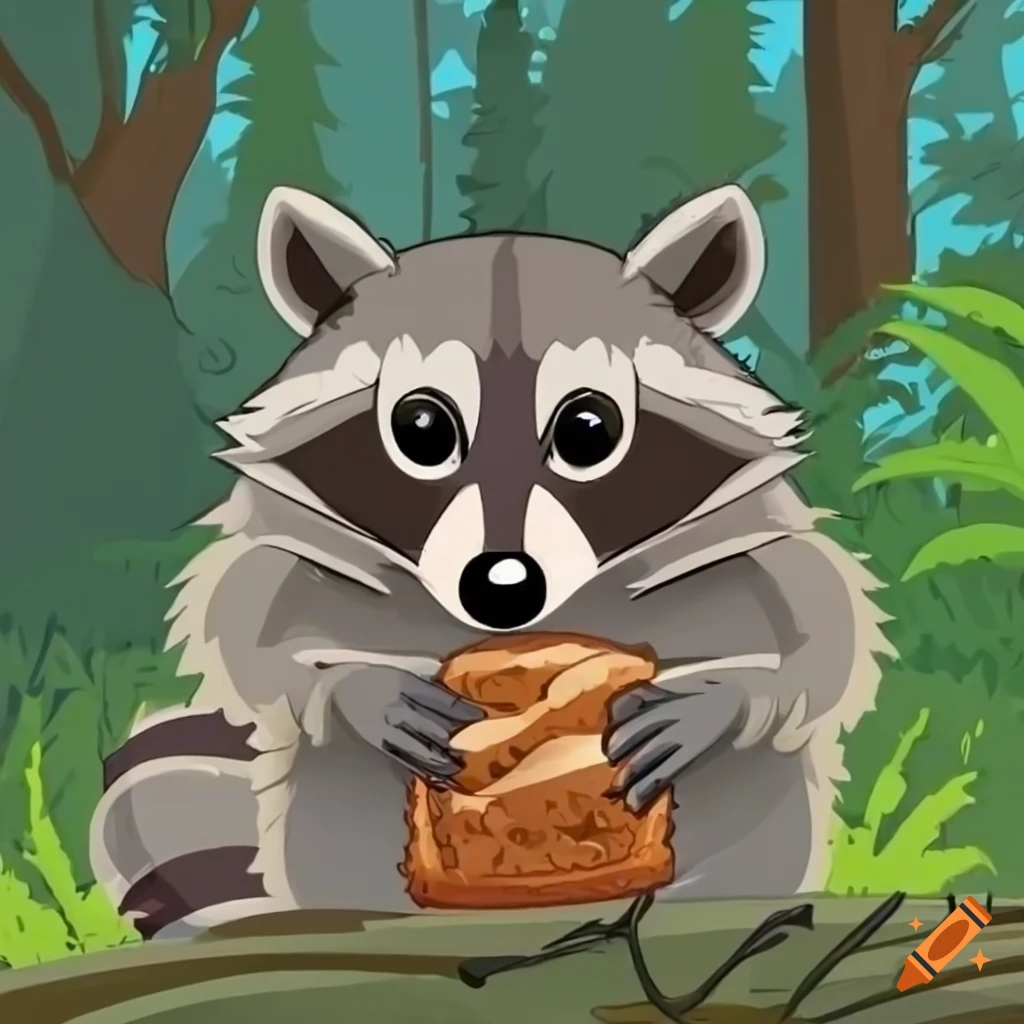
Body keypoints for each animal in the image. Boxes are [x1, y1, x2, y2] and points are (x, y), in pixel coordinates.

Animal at [89, 183, 894, 939]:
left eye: (589, 430)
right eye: (421, 430)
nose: (502, 586)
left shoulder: (741, 535)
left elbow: (821, 628)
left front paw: (720, 700)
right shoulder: (300, 544)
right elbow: (249, 626)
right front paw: (356, 688)